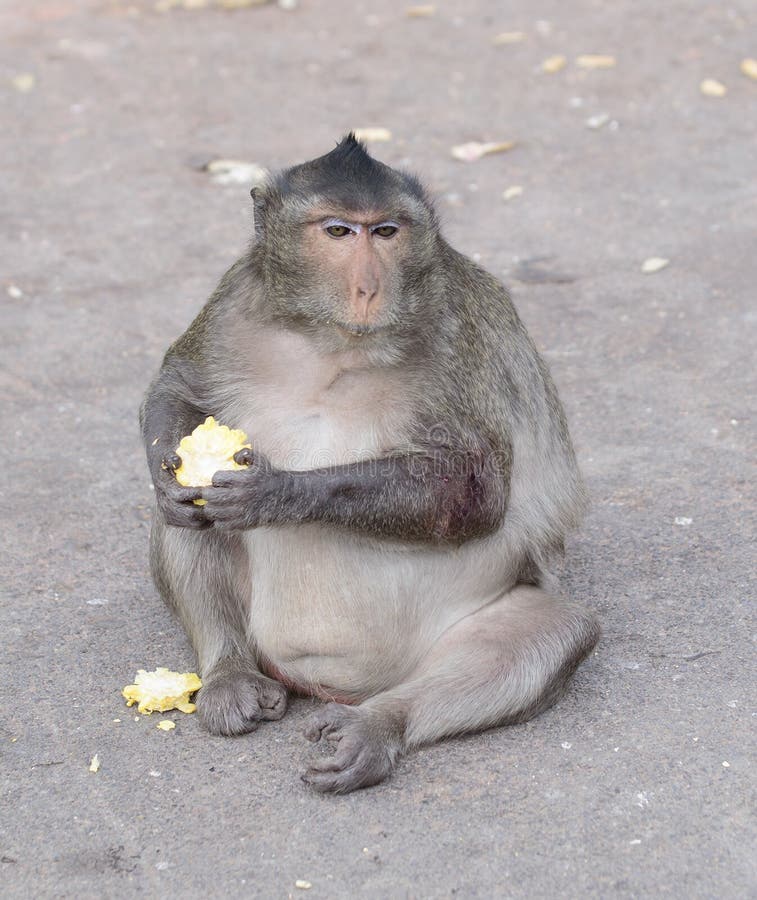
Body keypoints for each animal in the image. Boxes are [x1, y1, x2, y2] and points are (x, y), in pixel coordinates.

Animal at [140, 134, 599, 794]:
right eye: (338, 231)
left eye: (385, 231)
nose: (367, 287)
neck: (334, 338)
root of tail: (330, 688)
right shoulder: (235, 298)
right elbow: (179, 384)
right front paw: (163, 471)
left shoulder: (459, 338)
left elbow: (476, 488)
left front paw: (278, 494)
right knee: (184, 520)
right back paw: (229, 672)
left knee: (550, 635)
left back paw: (378, 726)